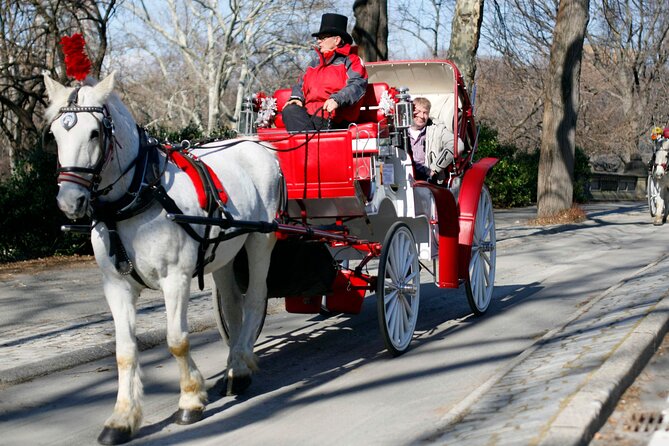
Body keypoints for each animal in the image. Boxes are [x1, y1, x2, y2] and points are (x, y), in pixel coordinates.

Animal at [43, 72, 283, 445]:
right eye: (55, 134)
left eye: (95, 132)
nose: (70, 201)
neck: (138, 194)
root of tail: (255, 143)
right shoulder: (116, 286)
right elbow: (124, 351)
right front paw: (122, 418)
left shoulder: (176, 278)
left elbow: (177, 340)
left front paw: (190, 400)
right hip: (226, 251)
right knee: (233, 307)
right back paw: (235, 366)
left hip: (261, 239)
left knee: (256, 298)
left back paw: (240, 364)